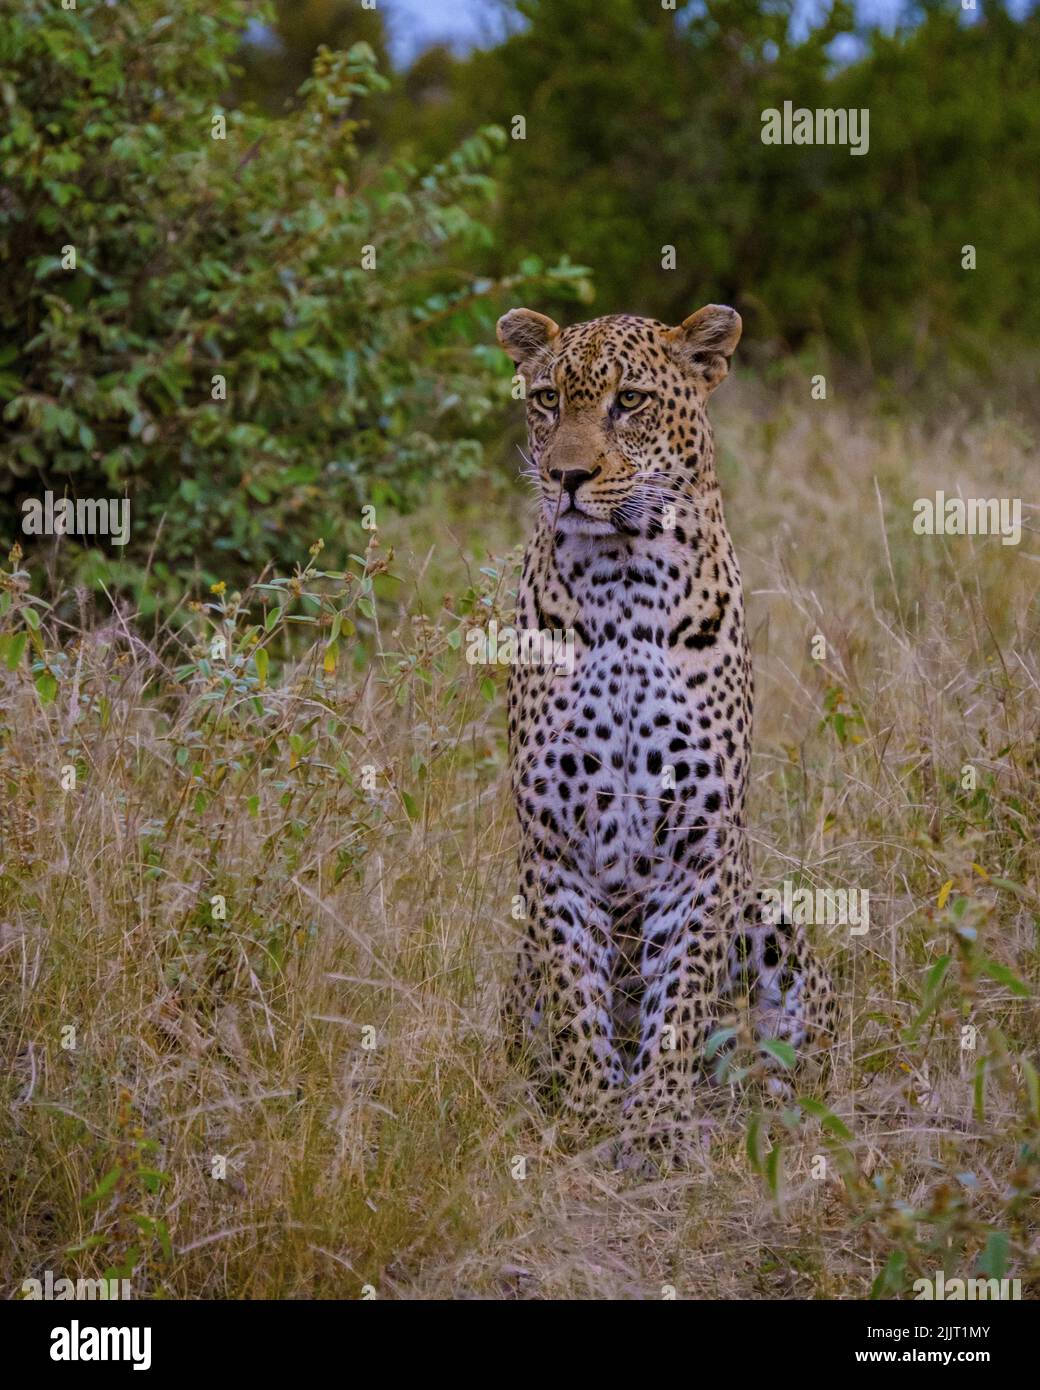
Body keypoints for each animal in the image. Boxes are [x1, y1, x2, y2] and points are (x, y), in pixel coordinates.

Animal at [496, 302, 837, 1165]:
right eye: (547, 399)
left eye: (630, 402)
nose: (566, 478)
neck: (622, 583)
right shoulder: (553, 840)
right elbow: (577, 994)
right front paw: (590, 1113)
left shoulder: (700, 846)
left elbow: (679, 995)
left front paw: (656, 1124)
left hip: (768, 913)